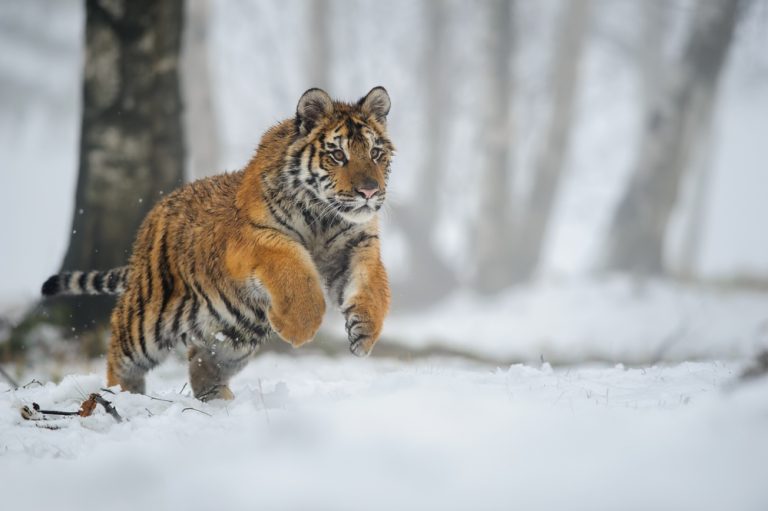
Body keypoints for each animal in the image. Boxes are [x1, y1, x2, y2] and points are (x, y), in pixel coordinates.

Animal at [41, 87, 393, 401]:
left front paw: (364, 335)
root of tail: (149, 221)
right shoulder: (257, 238)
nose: (369, 191)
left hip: (233, 332)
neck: (324, 216)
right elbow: (294, 268)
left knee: (202, 364)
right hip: (147, 321)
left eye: (375, 153)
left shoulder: (356, 244)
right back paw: (124, 397)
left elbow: (371, 285)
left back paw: (220, 403)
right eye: (338, 155)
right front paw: (298, 329)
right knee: (118, 351)